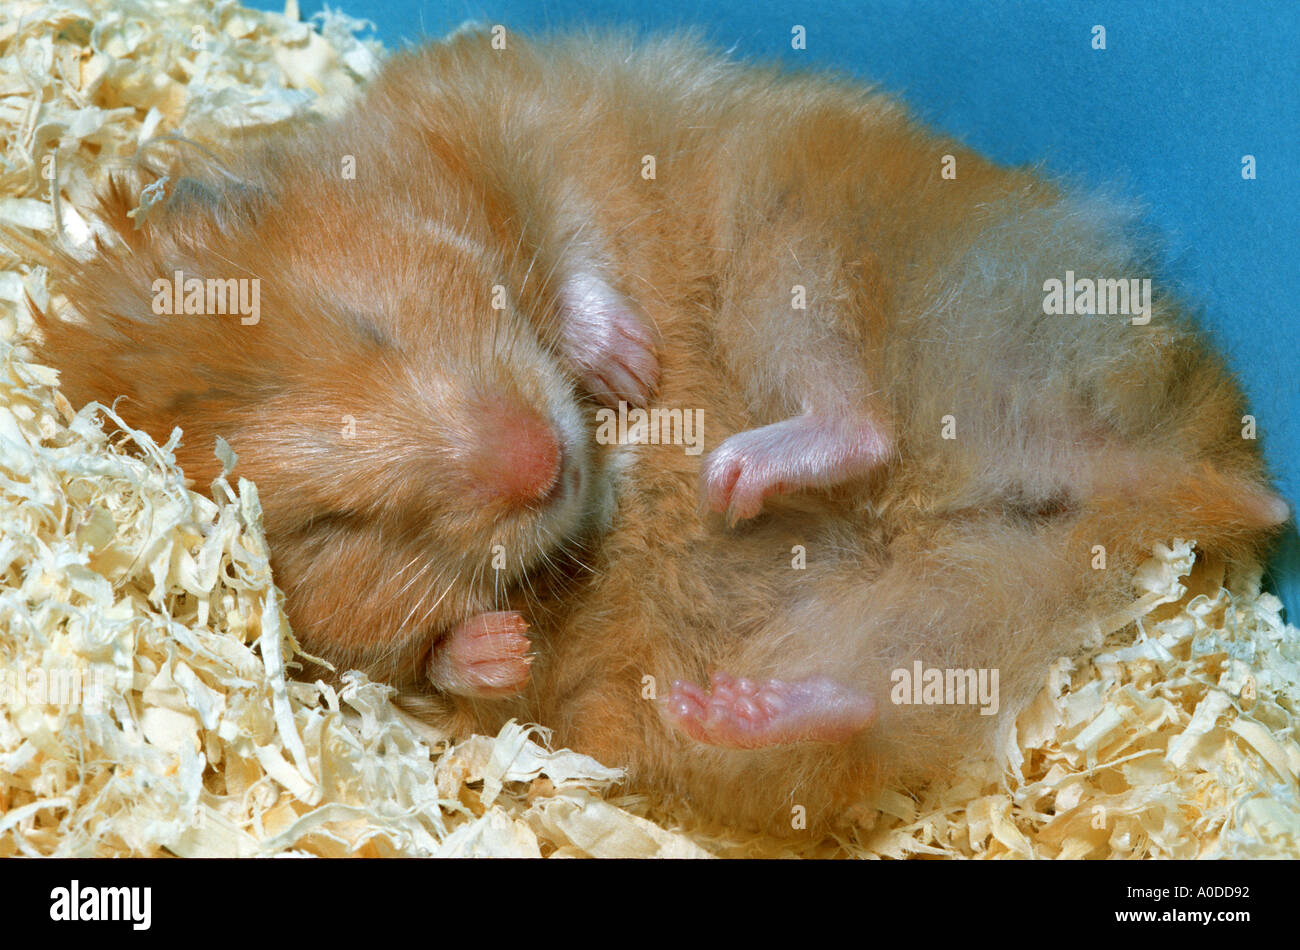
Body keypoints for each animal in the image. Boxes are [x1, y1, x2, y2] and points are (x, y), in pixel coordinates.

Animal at [30, 30, 1289, 835]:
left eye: (367, 323)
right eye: (327, 526)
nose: (542, 460)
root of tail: (1100, 465)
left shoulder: (516, 111)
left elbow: (575, 237)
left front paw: (621, 363)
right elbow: (414, 665)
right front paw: (496, 644)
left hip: (799, 240)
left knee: (860, 413)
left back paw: (734, 468)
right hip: (947, 606)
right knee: (854, 695)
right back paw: (730, 688)